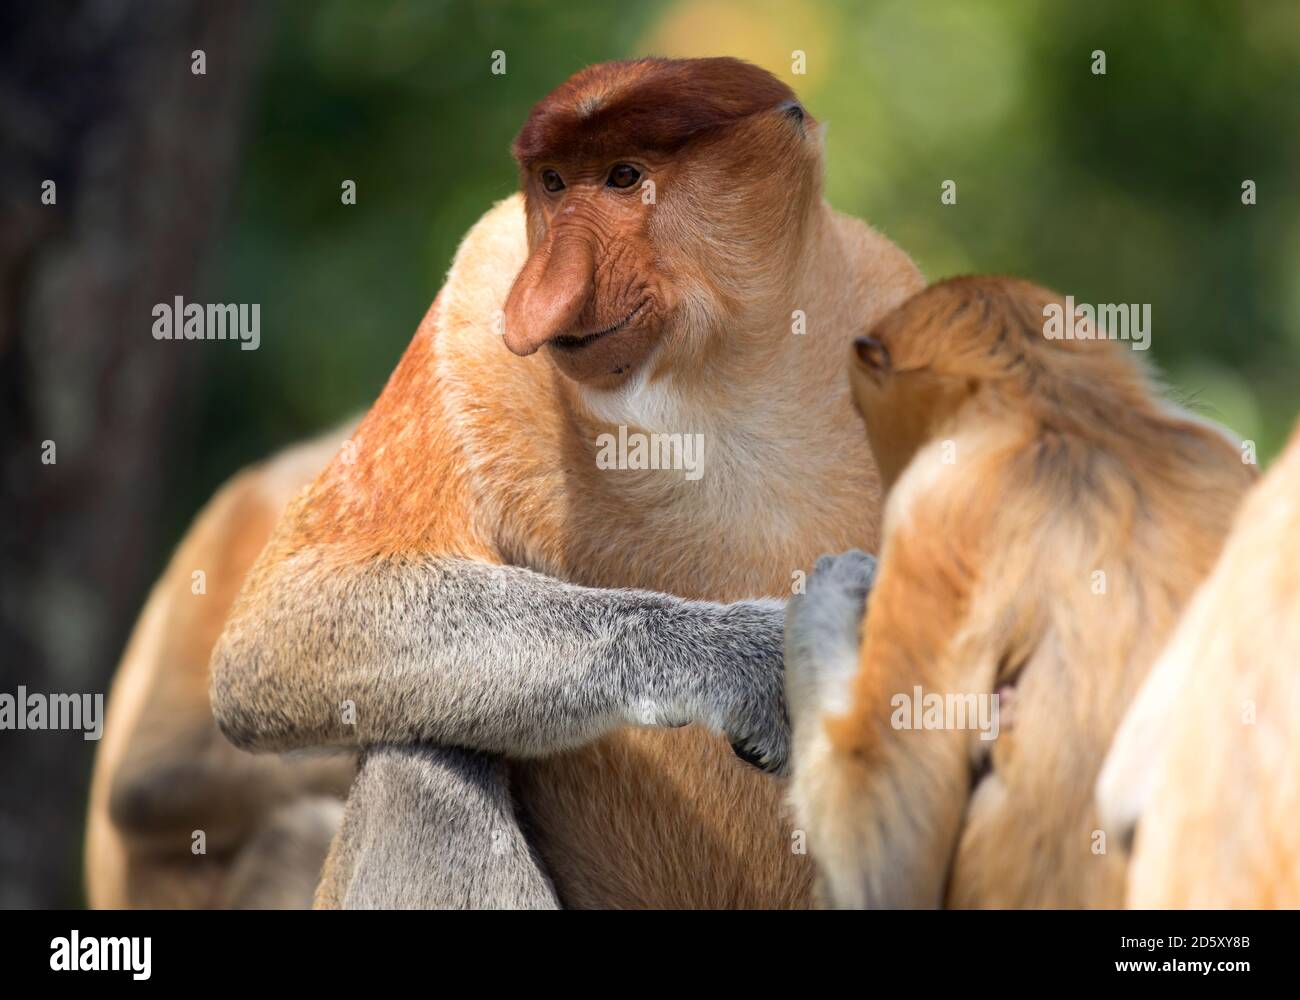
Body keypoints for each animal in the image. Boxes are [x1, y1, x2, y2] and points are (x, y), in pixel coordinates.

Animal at [208, 57, 925, 909]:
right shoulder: (474, 301)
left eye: (624, 177)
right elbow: (283, 620)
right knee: (421, 763)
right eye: (552, 184)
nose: (538, 301)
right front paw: (762, 654)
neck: (715, 386)